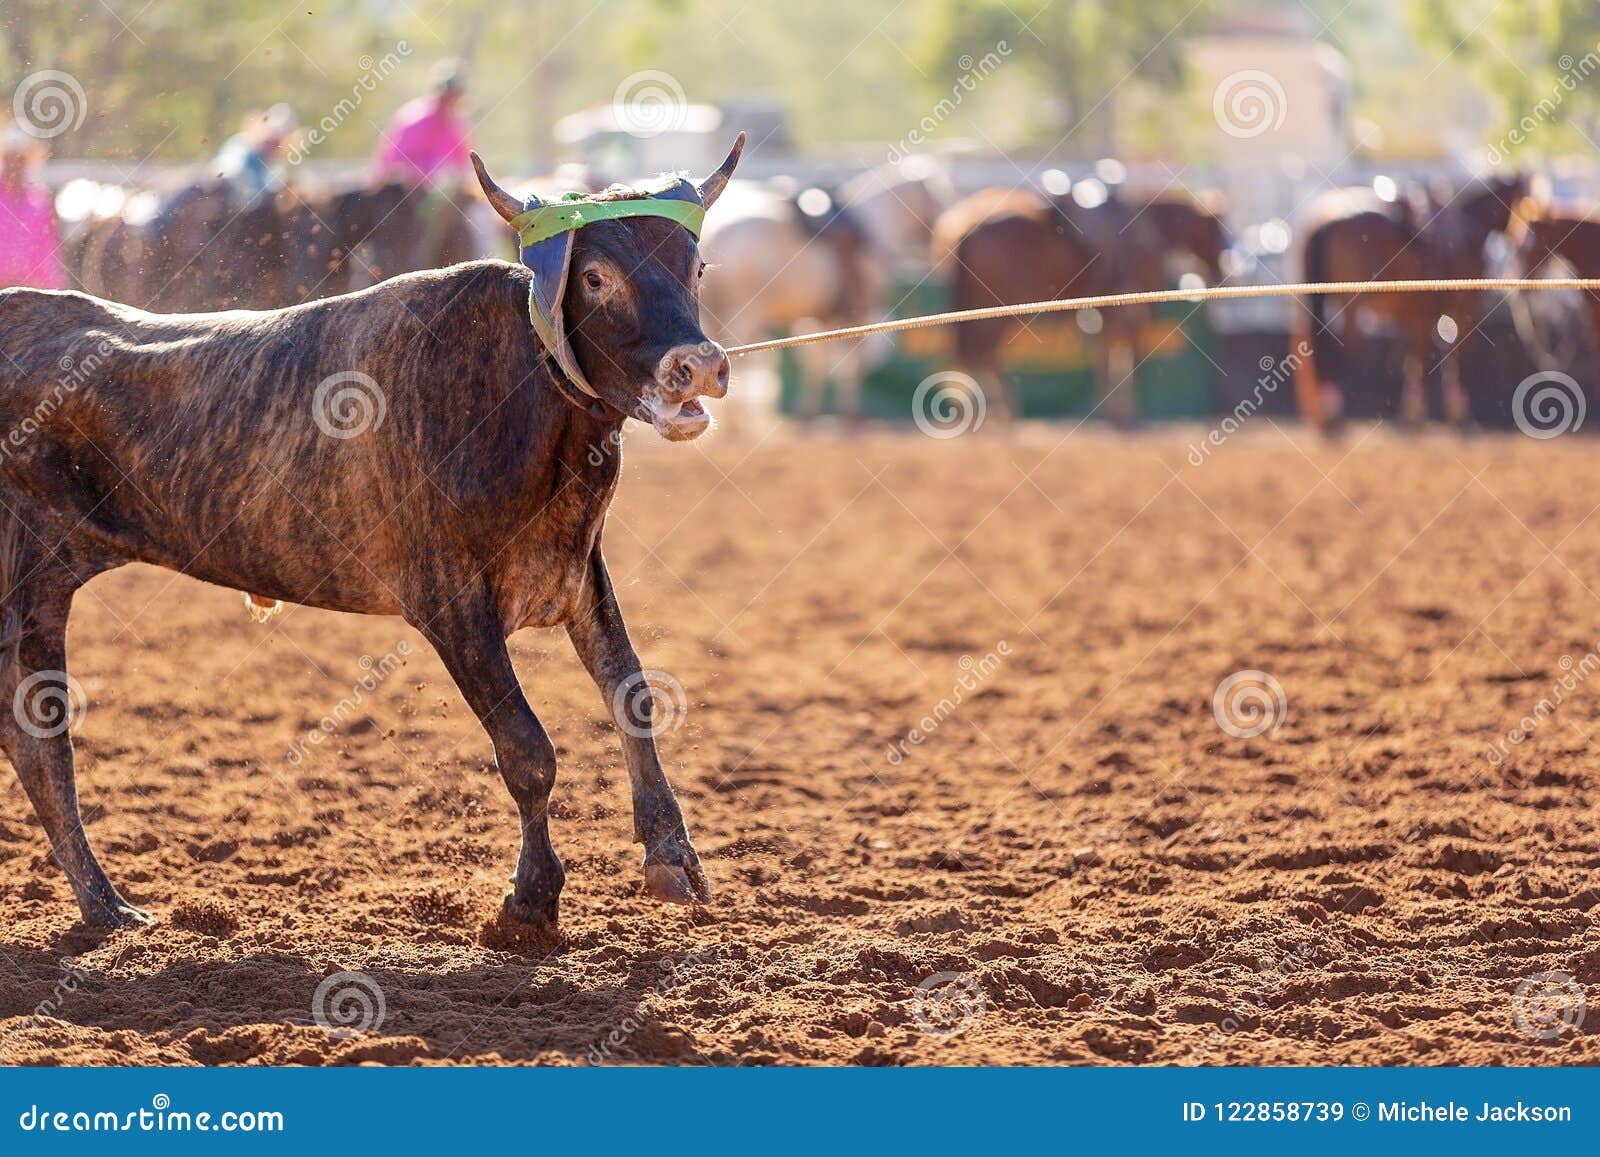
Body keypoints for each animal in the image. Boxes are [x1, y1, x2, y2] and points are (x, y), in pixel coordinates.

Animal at [0, 134, 747, 931]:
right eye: (598, 276)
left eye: (697, 267)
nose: (698, 365)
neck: (515, 395)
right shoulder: (449, 600)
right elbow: (527, 749)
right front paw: (531, 896)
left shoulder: (578, 572)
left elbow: (630, 694)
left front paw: (672, 855)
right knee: (39, 738)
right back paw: (106, 902)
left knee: (35, 738)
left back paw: (103, 903)